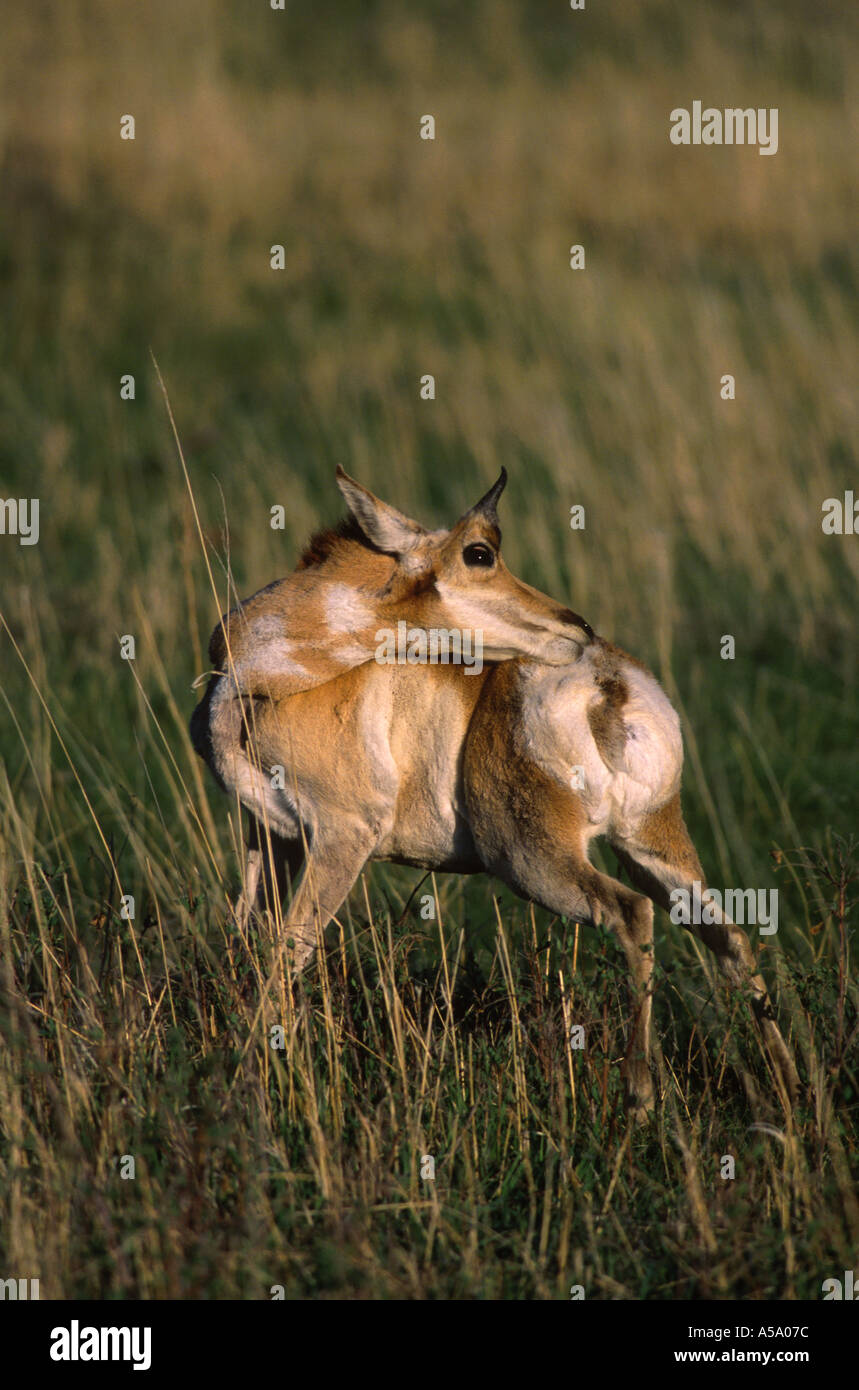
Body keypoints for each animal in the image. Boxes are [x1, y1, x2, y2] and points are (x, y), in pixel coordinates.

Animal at [190, 469, 798, 1119]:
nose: (578, 626)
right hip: (653, 849)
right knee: (731, 939)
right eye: (478, 552)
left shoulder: (341, 836)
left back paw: (639, 1097)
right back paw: (791, 1090)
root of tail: (607, 683)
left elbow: (288, 949)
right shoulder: (271, 834)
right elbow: (245, 935)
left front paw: (246, 1077)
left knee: (632, 914)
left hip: (529, 859)